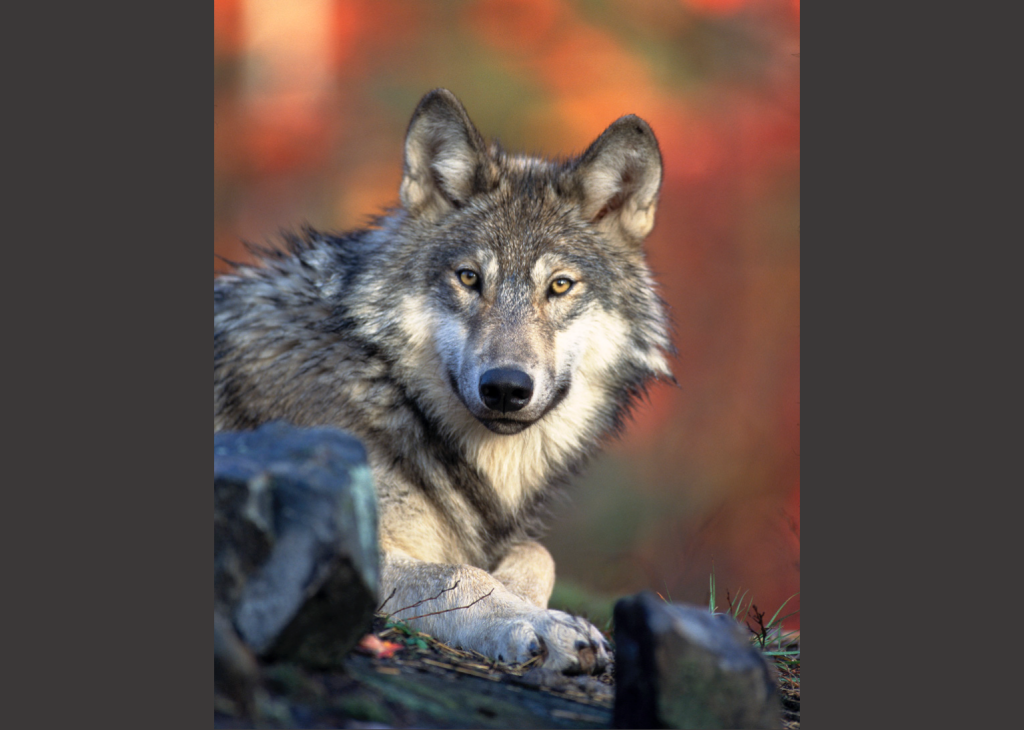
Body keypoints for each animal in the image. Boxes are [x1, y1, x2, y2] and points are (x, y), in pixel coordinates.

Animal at [214, 89, 673, 674]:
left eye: (560, 286)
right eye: (469, 278)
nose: (506, 388)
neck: (387, 388)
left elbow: (537, 553)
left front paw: (527, 601)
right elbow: (459, 574)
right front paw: (541, 624)